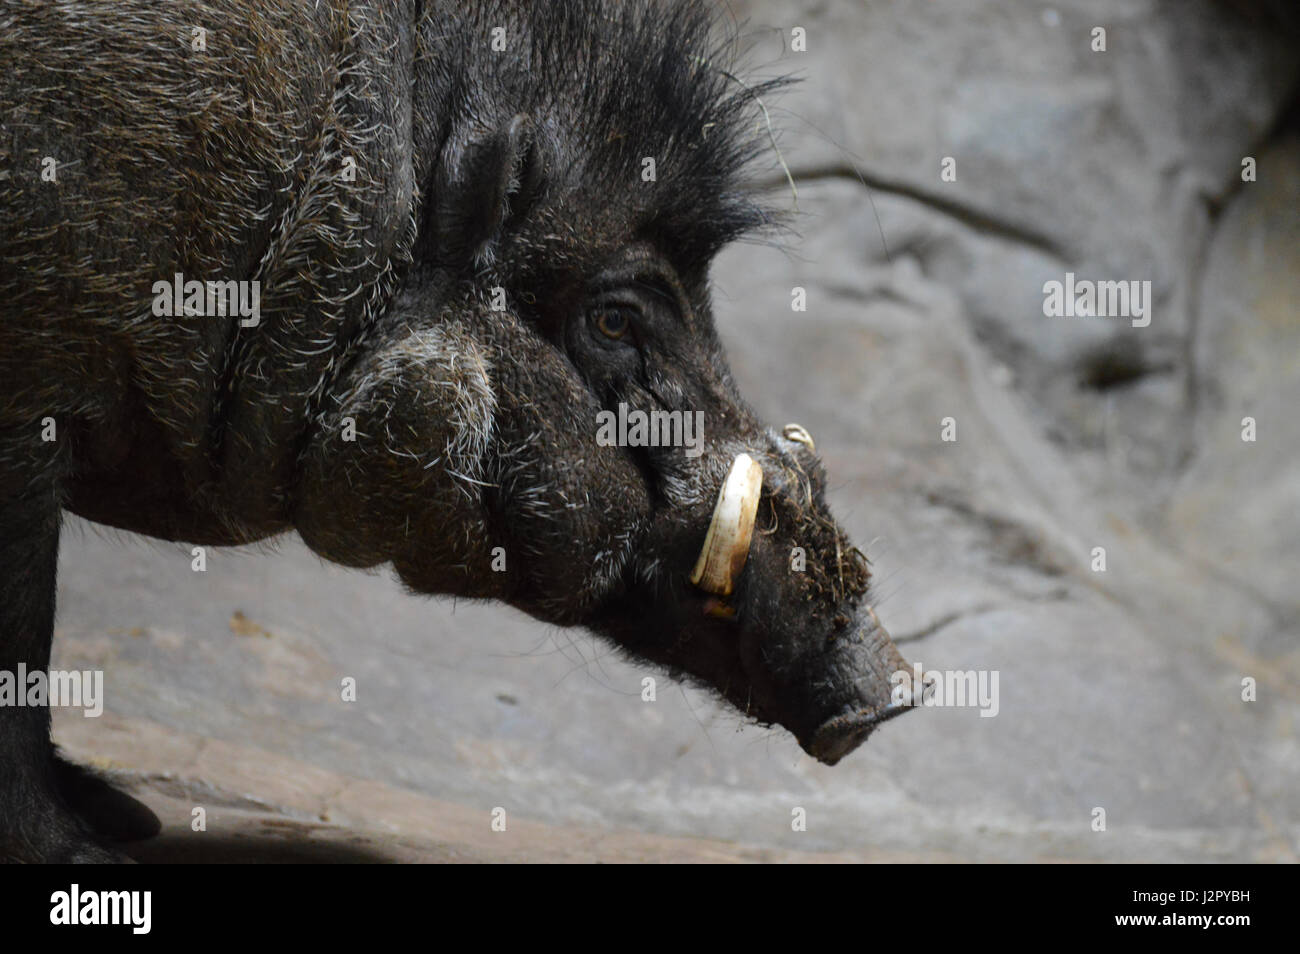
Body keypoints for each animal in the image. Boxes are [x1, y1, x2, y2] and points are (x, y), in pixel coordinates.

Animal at [0, 0, 912, 862]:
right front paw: (90, 845)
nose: (896, 689)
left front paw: (128, 817)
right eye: (615, 319)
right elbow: (24, 635)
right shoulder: (26, 412)